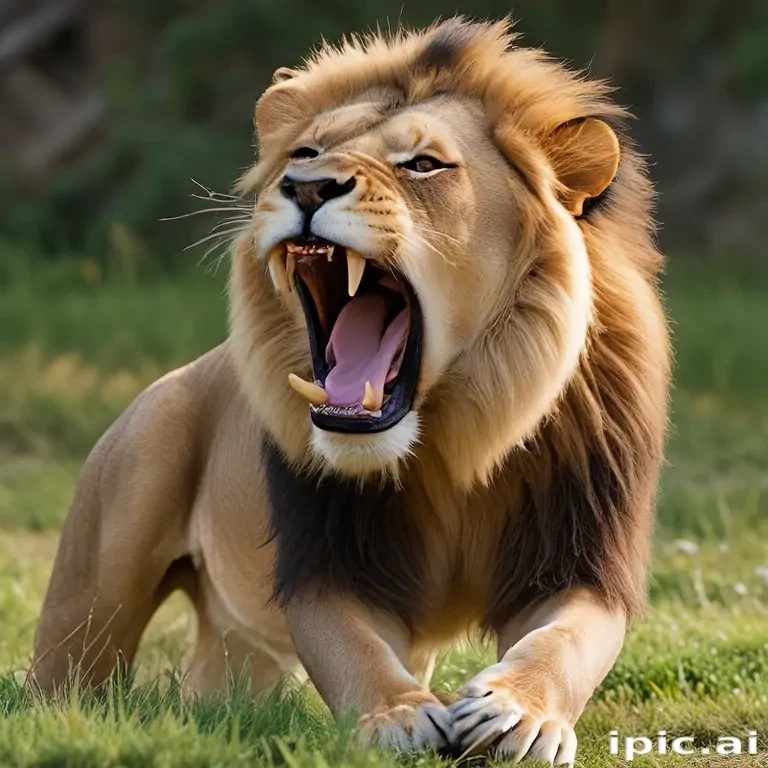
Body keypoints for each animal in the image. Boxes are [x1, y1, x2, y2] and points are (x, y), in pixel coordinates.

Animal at [32, 17, 669, 765]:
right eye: (305, 151)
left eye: (423, 164)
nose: (305, 186)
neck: (453, 435)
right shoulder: (326, 565)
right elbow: (354, 653)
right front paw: (397, 716)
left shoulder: (581, 556)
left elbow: (563, 643)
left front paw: (519, 713)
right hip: (102, 570)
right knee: (65, 677)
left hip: (238, 648)